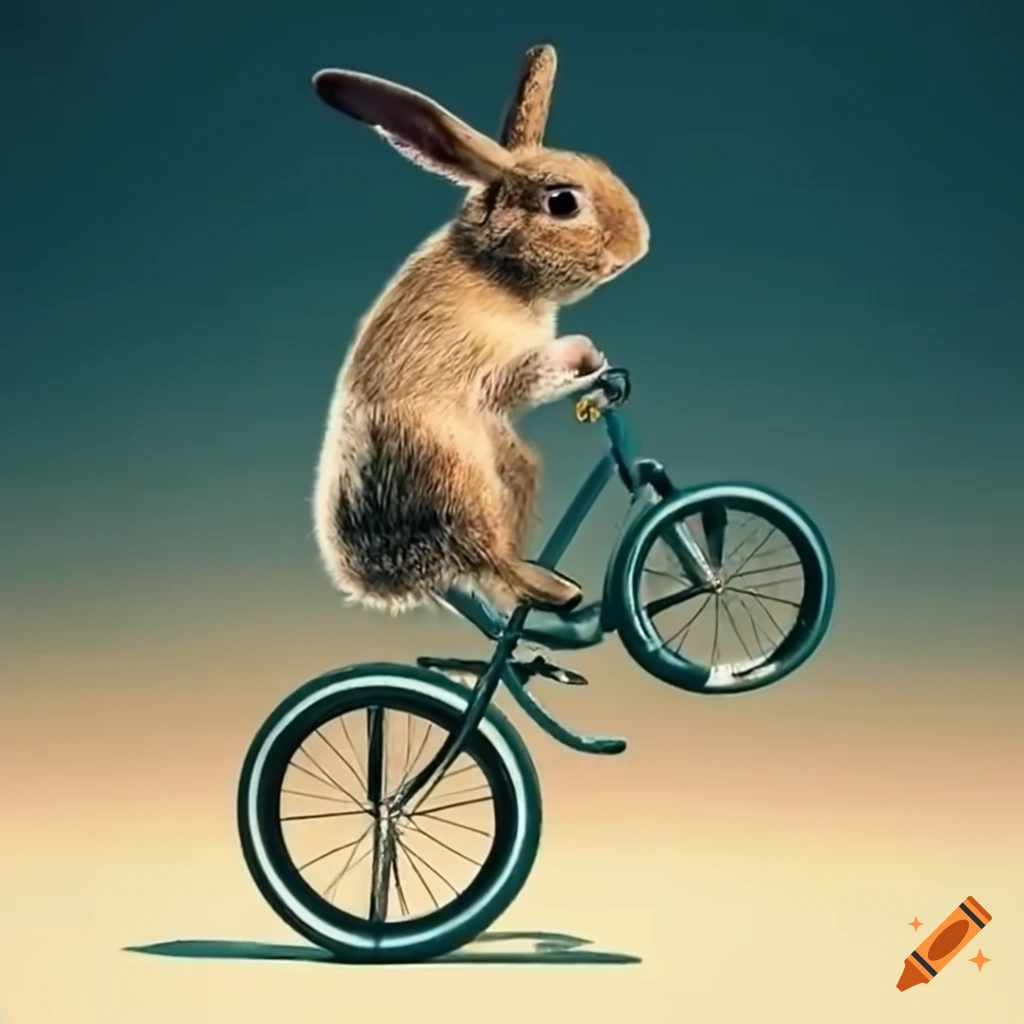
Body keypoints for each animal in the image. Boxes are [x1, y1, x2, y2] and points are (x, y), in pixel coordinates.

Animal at [310, 44, 650, 616]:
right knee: (487, 556)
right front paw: (587, 362)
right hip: (461, 474)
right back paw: (552, 590)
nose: (635, 248)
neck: (498, 267)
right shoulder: (490, 368)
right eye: (563, 202)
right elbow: (531, 377)